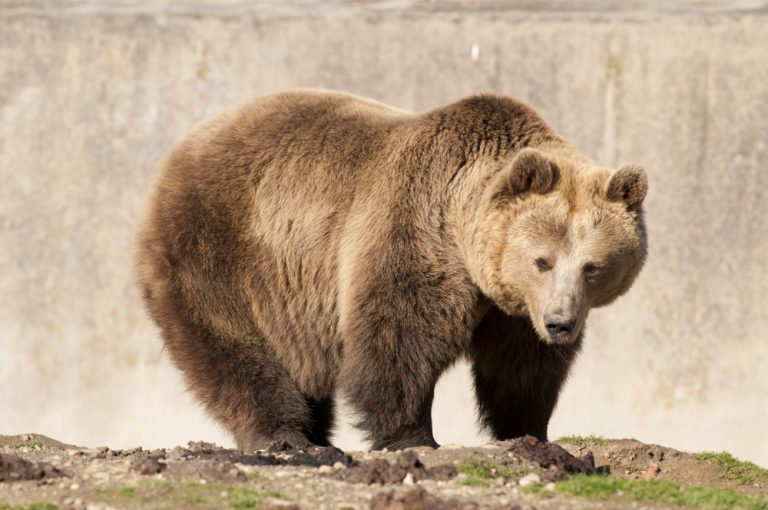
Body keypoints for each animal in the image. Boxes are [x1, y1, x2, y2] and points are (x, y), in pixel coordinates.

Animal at [136, 89, 647, 451]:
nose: (561, 324)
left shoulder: (515, 310)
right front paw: (412, 435)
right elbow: (400, 336)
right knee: (233, 343)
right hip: (219, 250)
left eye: (593, 267)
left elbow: (519, 366)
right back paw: (282, 435)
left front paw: (529, 431)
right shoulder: (415, 228)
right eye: (543, 259)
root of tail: (183, 147)